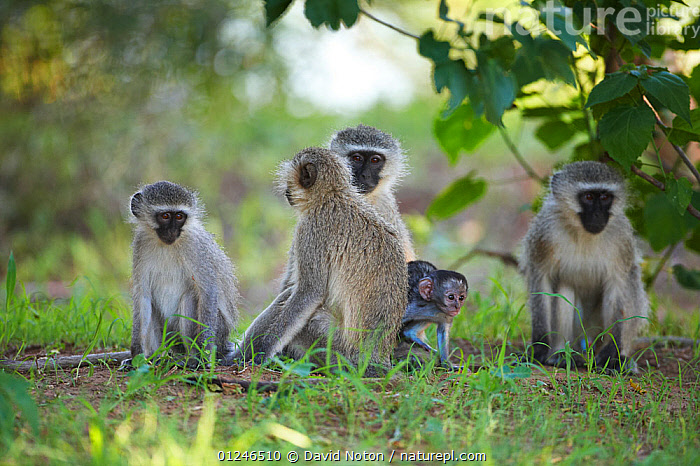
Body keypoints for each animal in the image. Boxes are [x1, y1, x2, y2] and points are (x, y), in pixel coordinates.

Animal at [127, 181, 239, 367]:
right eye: (165, 216)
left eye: (179, 217)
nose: (172, 231)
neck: (167, 245)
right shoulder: (140, 244)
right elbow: (143, 296)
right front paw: (136, 354)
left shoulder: (195, 246)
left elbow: (208, 291)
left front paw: (204, 353)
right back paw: (154, 358)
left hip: (219, 330)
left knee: (190, 298)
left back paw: (192, 359)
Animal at [227, 147, 407, 376]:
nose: (287, 193)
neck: (333, 194)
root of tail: (377, 359)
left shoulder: (310, 229)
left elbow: (309, 293)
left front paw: (261, 353)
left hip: (338, 351)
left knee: (303, 312)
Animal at [520, 161, 649, 373]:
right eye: (588, 197)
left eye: (605, 197)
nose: (597, 215)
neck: (583, 234)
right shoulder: (544, 234)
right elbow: (542, 281)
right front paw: (539, 348)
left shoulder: (622, 239)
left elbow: (619, 286)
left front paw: (612, 354)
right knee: (564, 286)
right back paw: (562, 354)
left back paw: (616, 357)